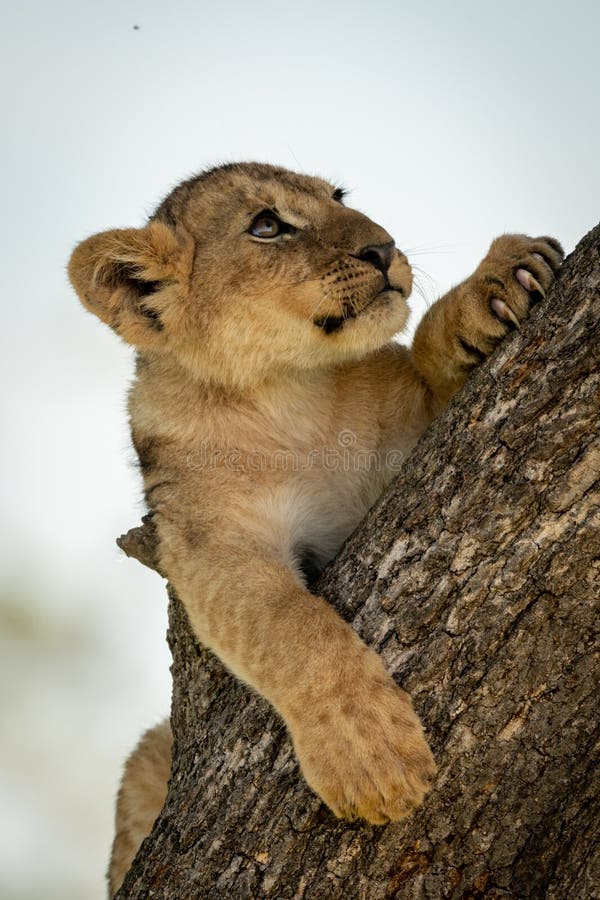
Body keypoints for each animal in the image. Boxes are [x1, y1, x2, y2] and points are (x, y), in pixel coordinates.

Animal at [68, 162, 563, 895]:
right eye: (267, 225)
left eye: (339, 199)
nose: (384, 247)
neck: (294, 400)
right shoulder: (209, 541)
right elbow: (293, 628)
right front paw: (372, 759)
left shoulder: (421, 436)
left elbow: (431, 360)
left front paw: (499, 287)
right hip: (151, 752)